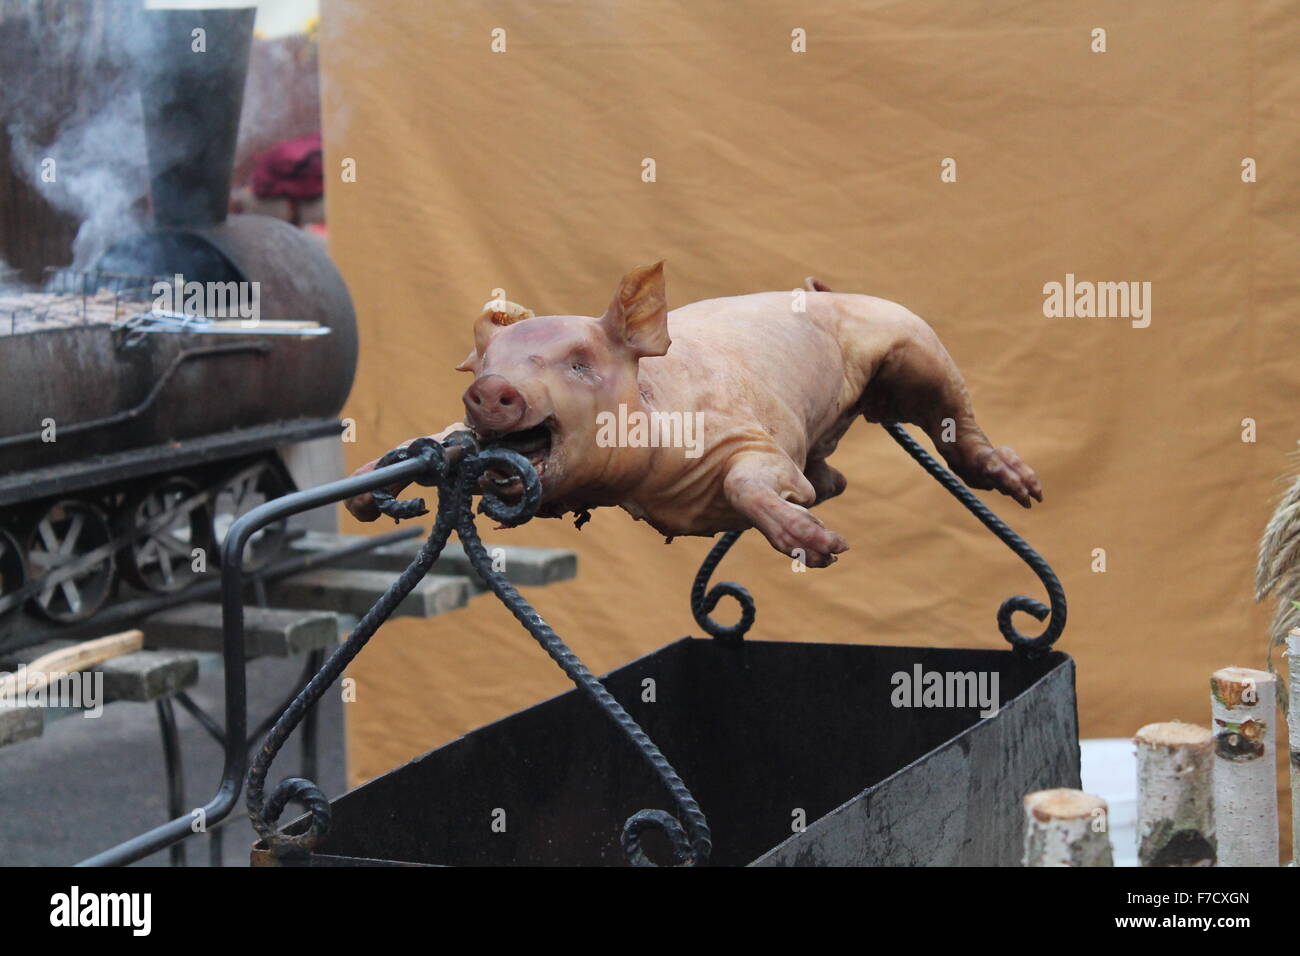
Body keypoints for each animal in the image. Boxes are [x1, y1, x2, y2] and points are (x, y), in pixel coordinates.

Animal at [346, 262, 1041, 567]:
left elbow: (757, 479)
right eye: (483, 364)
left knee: (956, 420)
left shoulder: (748, 436)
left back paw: (1023, 487)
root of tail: (823, 290)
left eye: (579, 364)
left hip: (914, 342)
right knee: (834, 476)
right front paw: (362, 496)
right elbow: (440, 437)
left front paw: (823, 549)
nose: (493, 389)